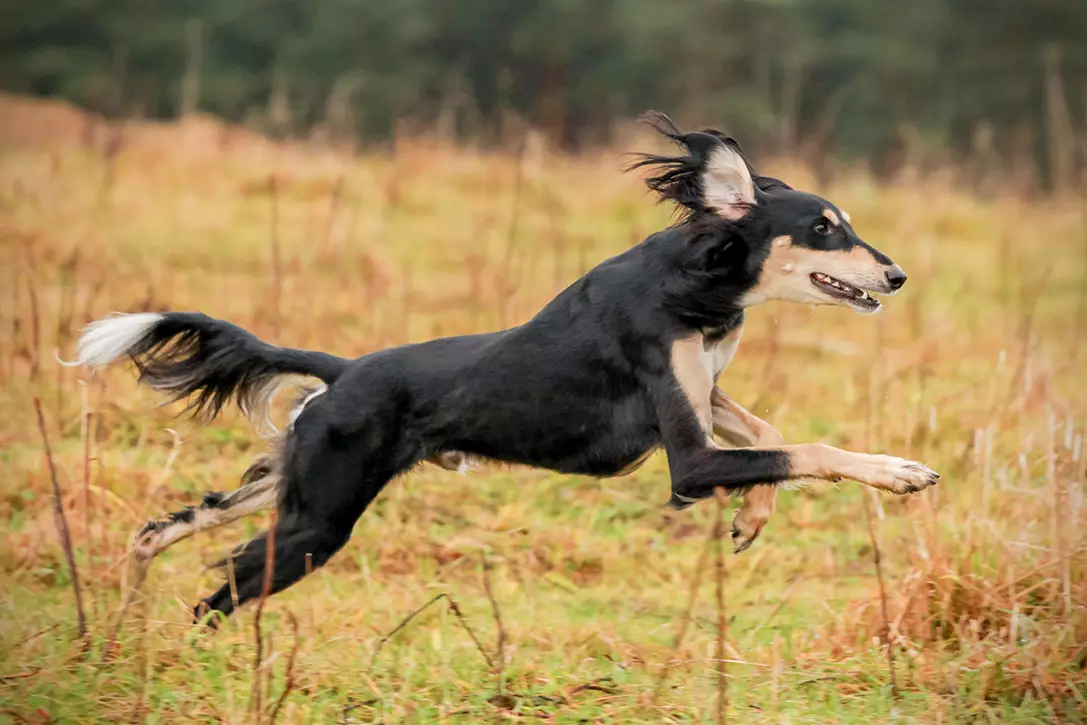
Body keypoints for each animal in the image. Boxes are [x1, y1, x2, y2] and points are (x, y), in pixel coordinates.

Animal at [74, 113, 943, 626]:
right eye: (824, 228)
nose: (898, 275)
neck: (697, 279)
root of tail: (346, 369)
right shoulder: (688, 457)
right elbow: (803, 450)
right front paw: (897, 471)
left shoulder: (706, 388)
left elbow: (768, 431)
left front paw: (754, 513)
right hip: (315, 521)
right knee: (217, 594)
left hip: (292, 482)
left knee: (162, 528)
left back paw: (126, 608)